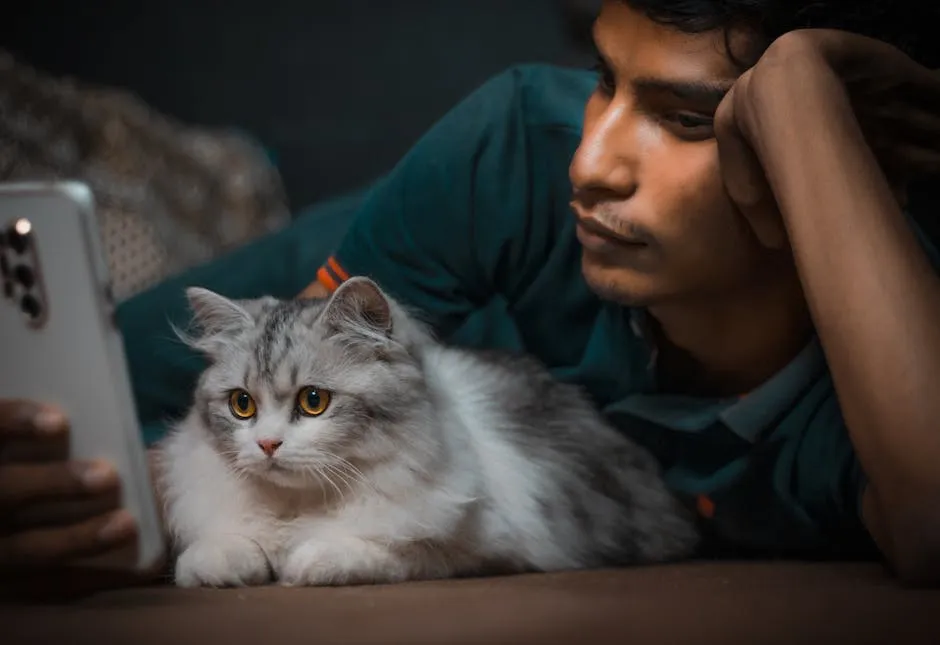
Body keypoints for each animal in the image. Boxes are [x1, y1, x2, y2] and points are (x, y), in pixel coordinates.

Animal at [156, 274, 696, 588]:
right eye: (242, 405)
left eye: (313, 401)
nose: (267, 445)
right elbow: (217, 551)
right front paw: (219, 566)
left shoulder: (481, 547)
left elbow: (379, 551)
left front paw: (305, 561)